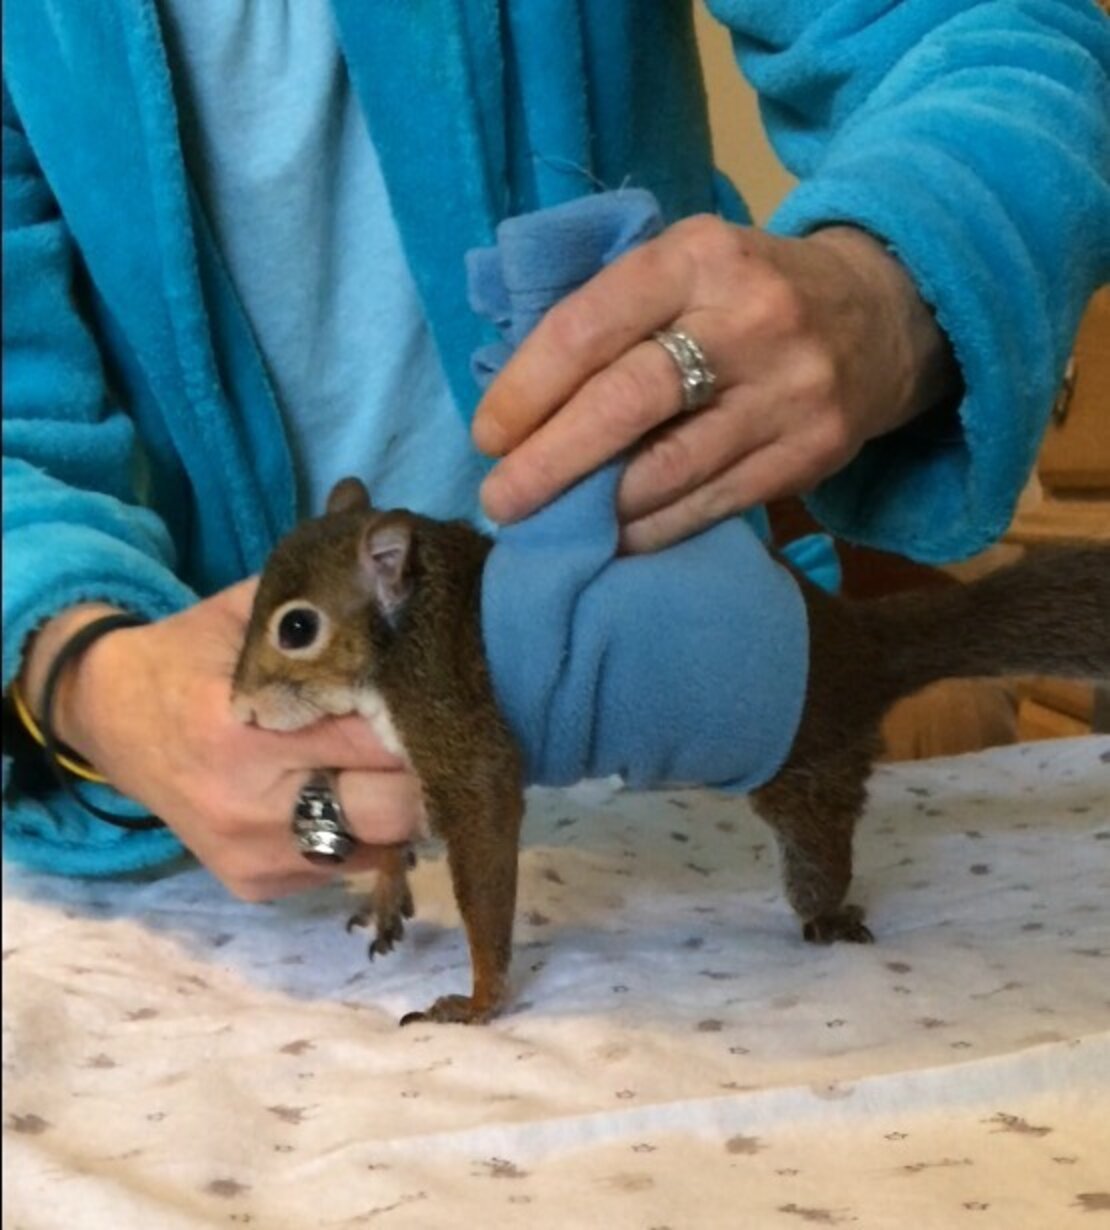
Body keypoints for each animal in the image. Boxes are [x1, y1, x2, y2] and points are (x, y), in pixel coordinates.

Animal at [231, 475, 1109, 1024]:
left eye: (298, 627)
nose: (238, 709)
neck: (410, 625)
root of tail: (862, 649)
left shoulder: (460, 730)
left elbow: (485, 856)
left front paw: (478, 1001)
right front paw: (384, 880)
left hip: (807, 768)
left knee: (820, 853)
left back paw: (830, 915)